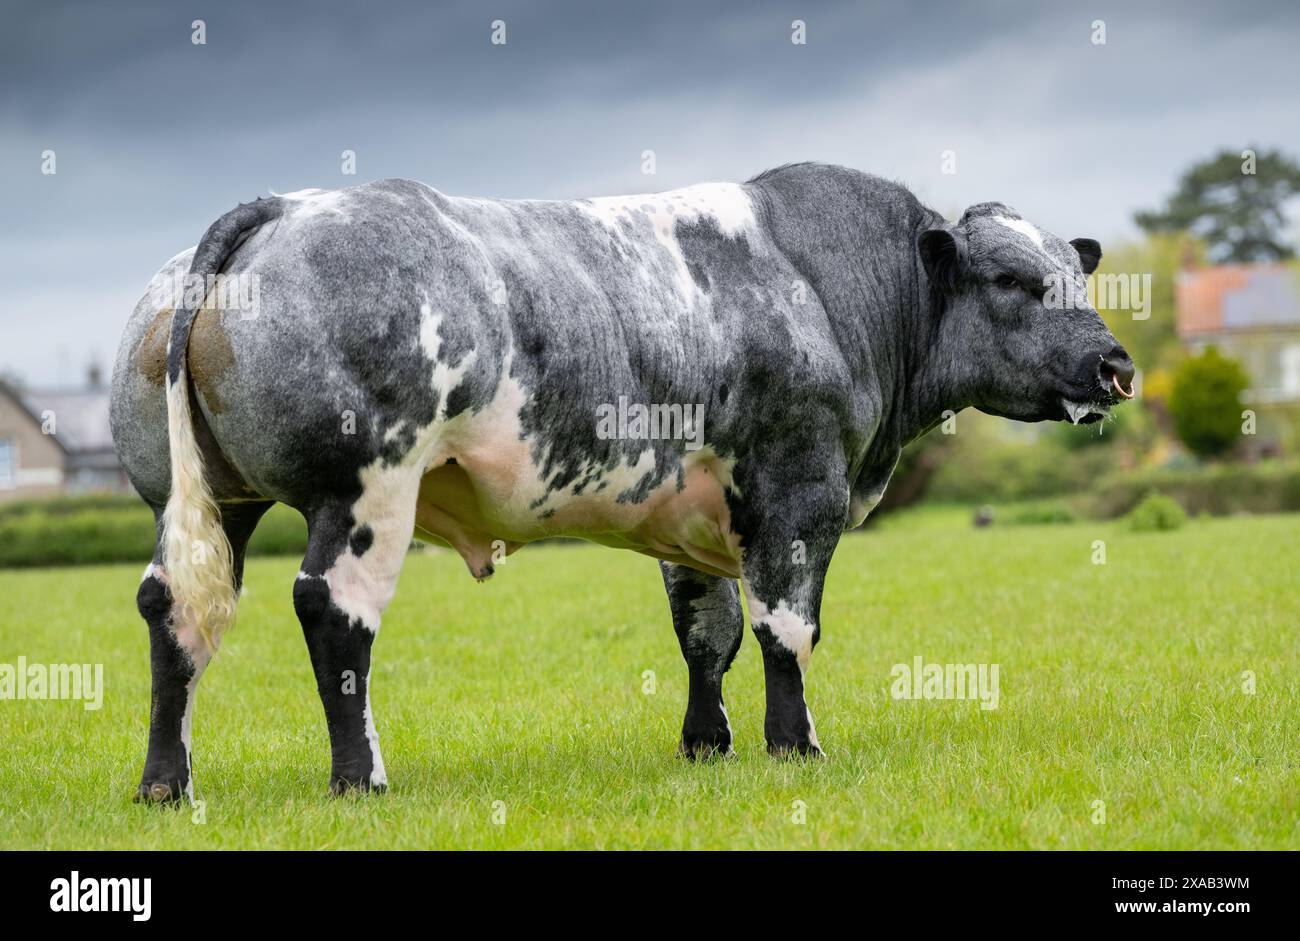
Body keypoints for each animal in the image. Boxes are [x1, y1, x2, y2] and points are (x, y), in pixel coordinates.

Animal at [109, 162, 1134, 802]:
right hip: (364, 491)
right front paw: (796, 745)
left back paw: (166, 782)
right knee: (333, 609)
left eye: (1077, 277)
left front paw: (707, 745)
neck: (827, 283)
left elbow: (708, 633)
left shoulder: (705, 509)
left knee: (171, 606)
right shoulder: (800, 492)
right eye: (1013, 281)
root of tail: (284, 208)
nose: (1116, 364)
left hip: (202, 502)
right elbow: (786, 627)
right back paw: (361, 777)